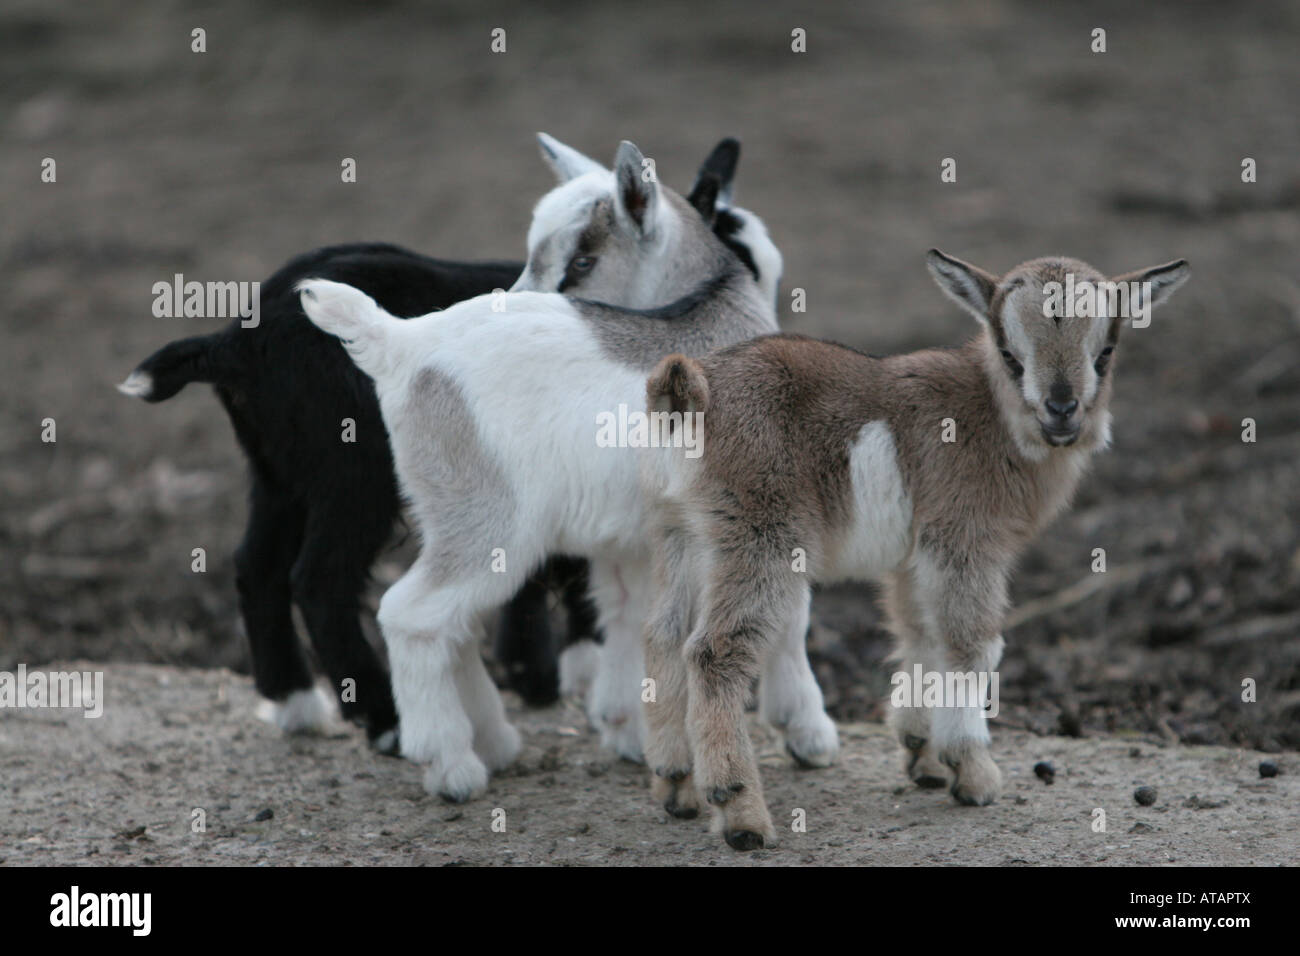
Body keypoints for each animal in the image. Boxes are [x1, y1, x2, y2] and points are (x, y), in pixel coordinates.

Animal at [118, 134, 760, 753]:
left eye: (580, 260)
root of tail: (232, 340)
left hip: (279, 472)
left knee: (258, 566)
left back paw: (299, 704)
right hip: (361, 475)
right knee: (326, 582)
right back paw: (393, 723)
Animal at [296, 139, 839, 800]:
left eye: (581, 260)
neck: (708, 306)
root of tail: (401, 344)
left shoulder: (637, 538)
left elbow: (632, 615)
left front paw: (630, 729)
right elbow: (789, 613)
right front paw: (807, 730)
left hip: (445, 508)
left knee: (457, 624)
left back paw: (494, 741)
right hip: (492, 519)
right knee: (411, 615)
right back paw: (450, 764)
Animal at [643, 250, 1189, 849]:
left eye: (1105, 352)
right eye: (1010, 355)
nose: (1062, 408)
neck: (990, 415)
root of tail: (693, 392)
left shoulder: (914, 558)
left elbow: (920, 634)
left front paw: (923, 755)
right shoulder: (963, 539)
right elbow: (972, 645)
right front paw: (972, 772)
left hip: (683, 534)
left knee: (663, 634)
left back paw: (676, 785)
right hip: (760, 533)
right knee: (715, 651)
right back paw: (740, 813)